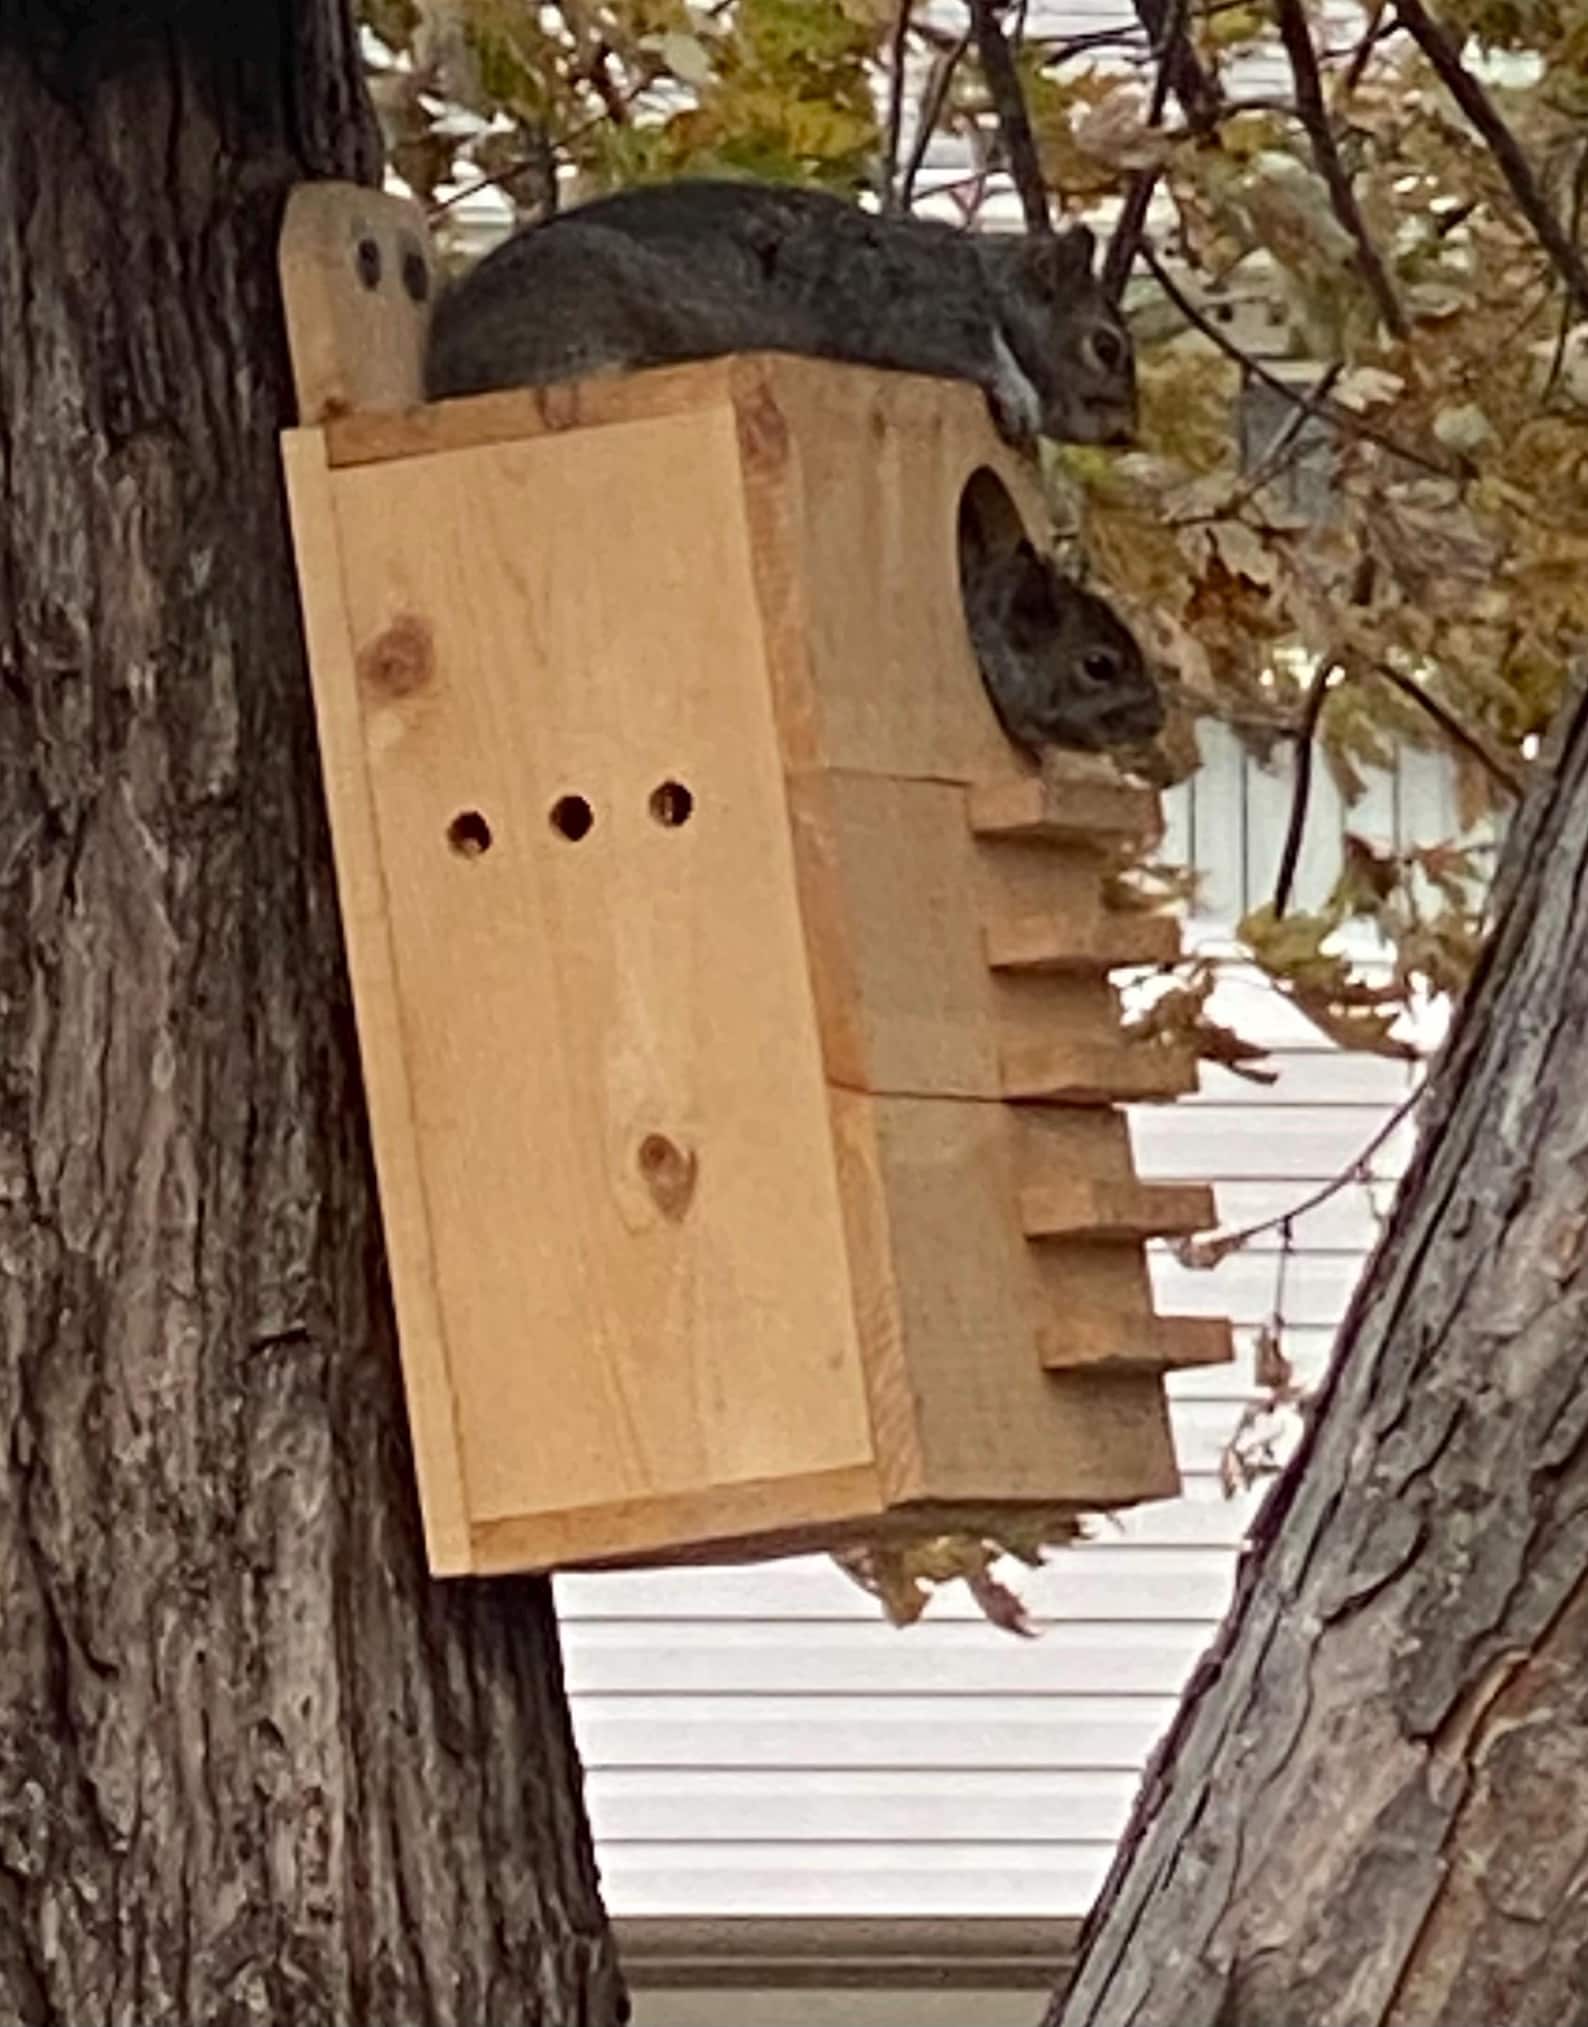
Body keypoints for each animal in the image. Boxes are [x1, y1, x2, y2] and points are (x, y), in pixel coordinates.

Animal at [423, 178, 1136, 447]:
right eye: (1105, 347)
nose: (1127, 435)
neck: (984, 282)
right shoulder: (915, 303)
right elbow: (966, 353)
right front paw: (1018, 393)